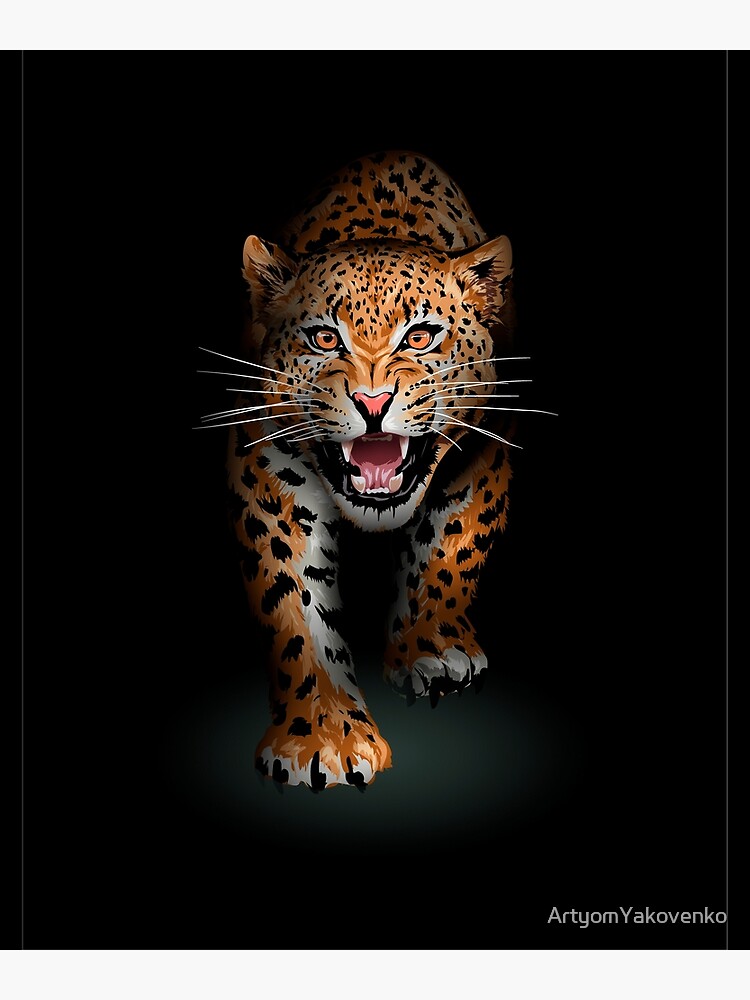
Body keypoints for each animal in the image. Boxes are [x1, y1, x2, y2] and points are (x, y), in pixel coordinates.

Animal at [213, 151, 528, 789]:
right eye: (324, 338)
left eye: (422, 336)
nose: (373, 400)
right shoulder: (268, 471)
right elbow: (297, 611)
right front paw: (324, 735)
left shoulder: (481, 453)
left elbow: (451, 549)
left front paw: (433, 650)